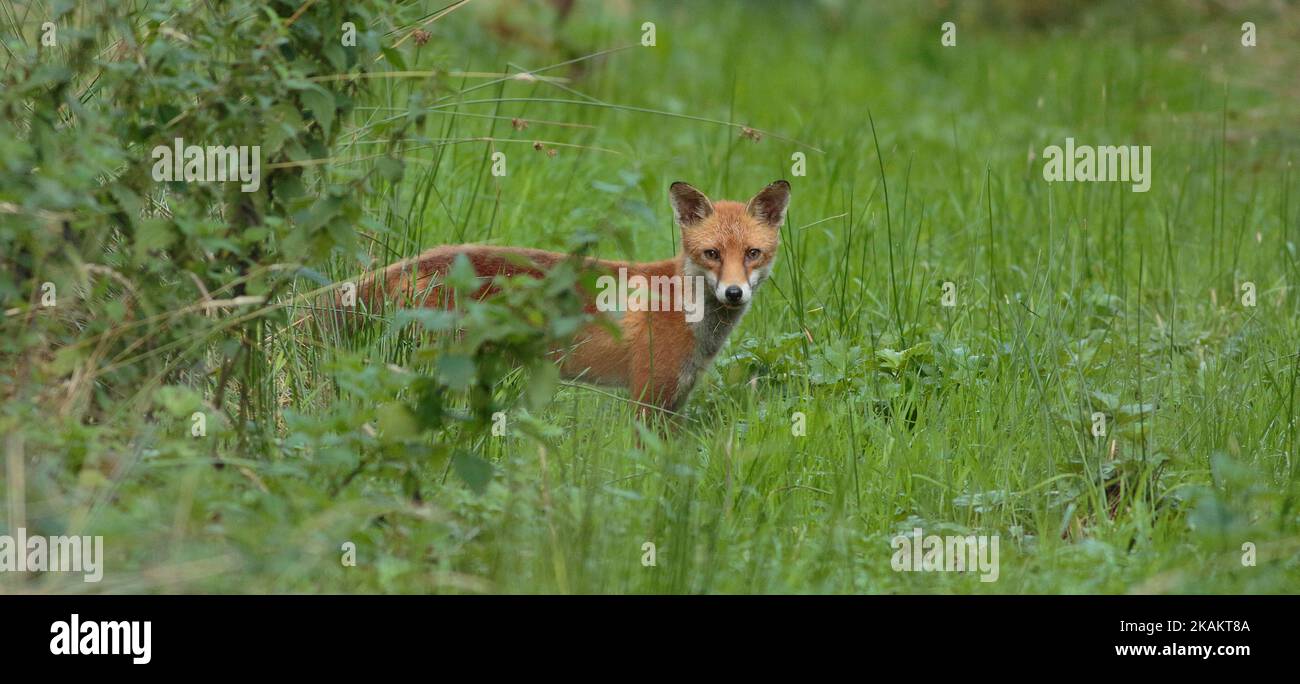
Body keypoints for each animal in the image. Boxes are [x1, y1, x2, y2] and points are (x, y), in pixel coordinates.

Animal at [346, 180, 790, 420]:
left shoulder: (676, 400)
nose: (734, 292)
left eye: (752, 253)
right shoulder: (647, 396)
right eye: (712, 254)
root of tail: (422, 258)